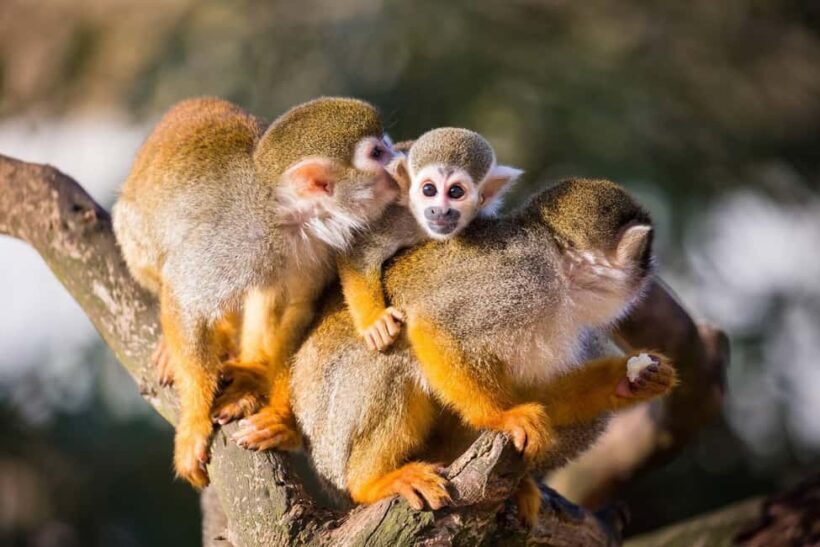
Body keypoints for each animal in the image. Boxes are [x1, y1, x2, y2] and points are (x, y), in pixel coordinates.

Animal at [112, 97, 398, 488]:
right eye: (377, 153)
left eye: (387, 147)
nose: (399, 160)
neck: (287, 219)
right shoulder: (238, 239)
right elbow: (186, 298)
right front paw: (194, 424)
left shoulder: (319, 249)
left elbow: (297, 310)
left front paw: (274, 406)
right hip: (133, 229)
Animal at [274, 177, 676, 524]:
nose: (650, 275)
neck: (564, 278)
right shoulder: (523, 280)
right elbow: (435, 326)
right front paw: (502, 417)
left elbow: (537, 393)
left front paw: (628, 380)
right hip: (331, 437)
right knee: (395, 355)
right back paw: (371, 482)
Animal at [336, 127, 523, 352]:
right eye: (429, 190)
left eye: (455, 192)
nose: (440, 211)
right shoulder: (394, 216)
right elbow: (359, 254)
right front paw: (375, 322)